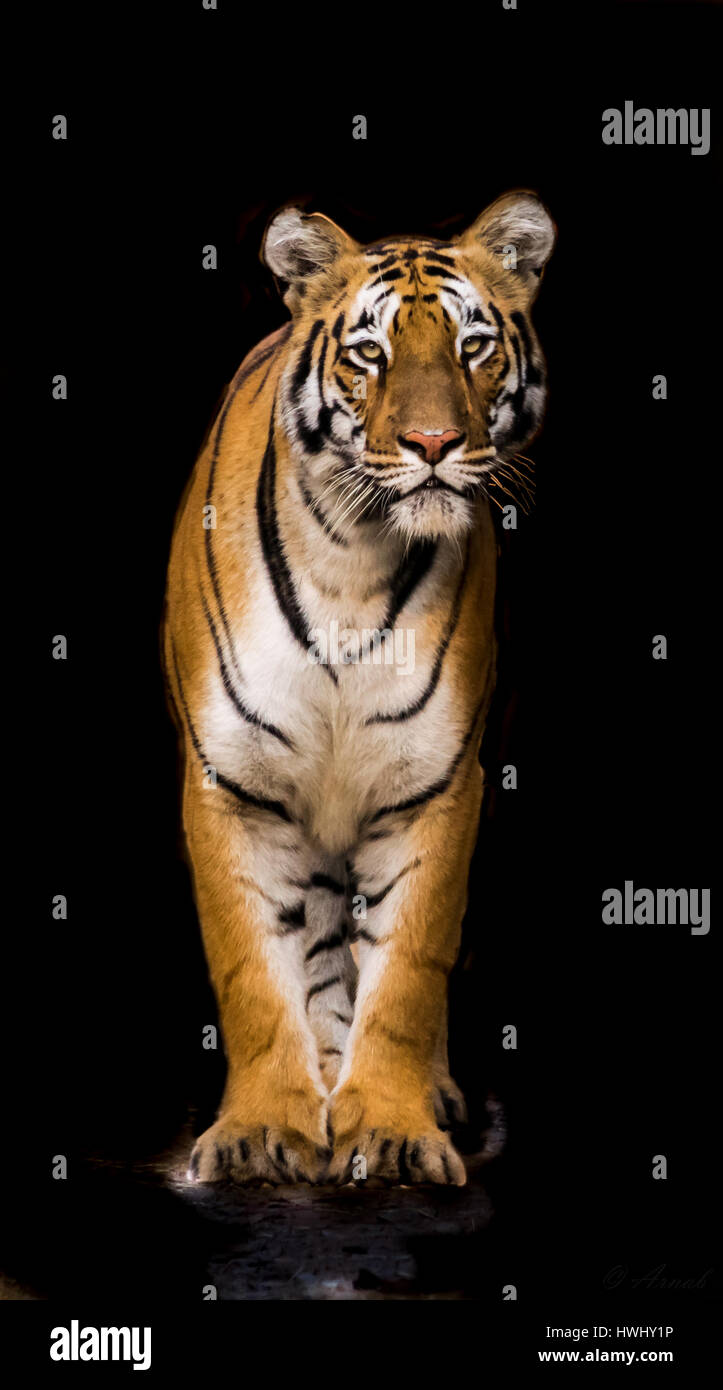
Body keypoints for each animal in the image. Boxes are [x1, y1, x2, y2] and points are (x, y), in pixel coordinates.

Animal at [163, 191, 555, 1186]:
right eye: (369, 352)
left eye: (472, 345)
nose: (433, 444)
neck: (352, 552)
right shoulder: (232, 785)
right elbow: (255, 975)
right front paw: (264, 1130)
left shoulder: (437, 785)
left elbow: (408, 972)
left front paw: (390, 1128)